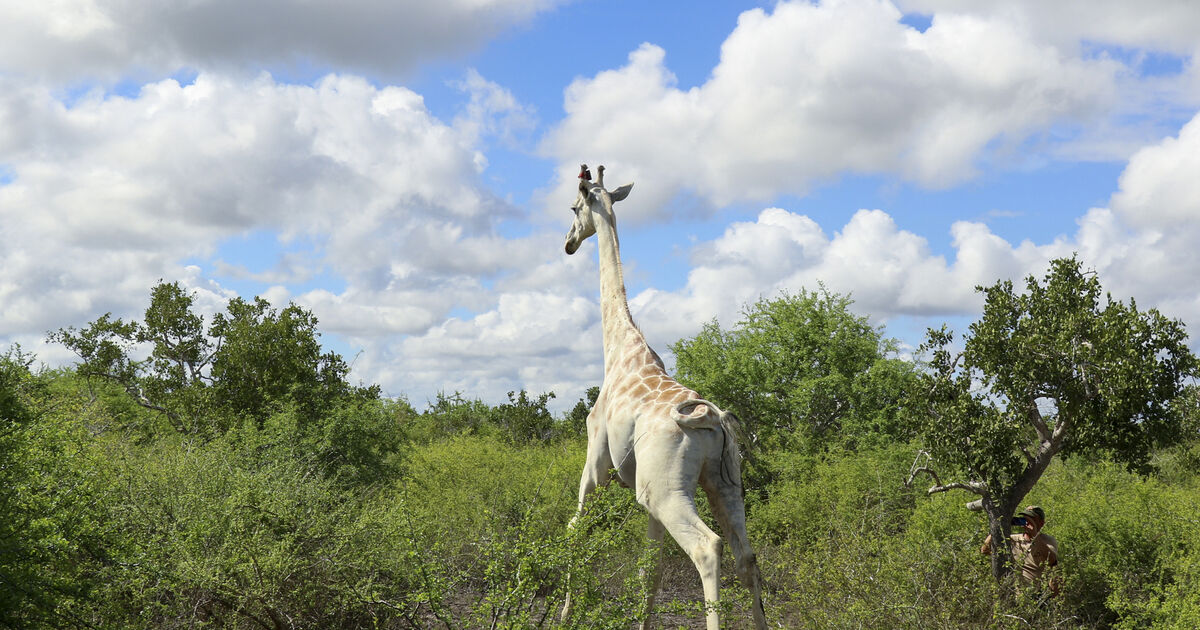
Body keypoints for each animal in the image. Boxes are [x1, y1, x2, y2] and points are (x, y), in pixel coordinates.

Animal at [560, 164, 766, 630]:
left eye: (575, 207)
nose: (568, 242)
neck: (618, 348)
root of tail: (712, 419)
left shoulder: (596, 463)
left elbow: (575, 529)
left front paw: (563, 614)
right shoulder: (644, 492)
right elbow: (648, 570)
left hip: (667, 490)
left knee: (708, 548)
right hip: (722, 481)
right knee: (747, 556)